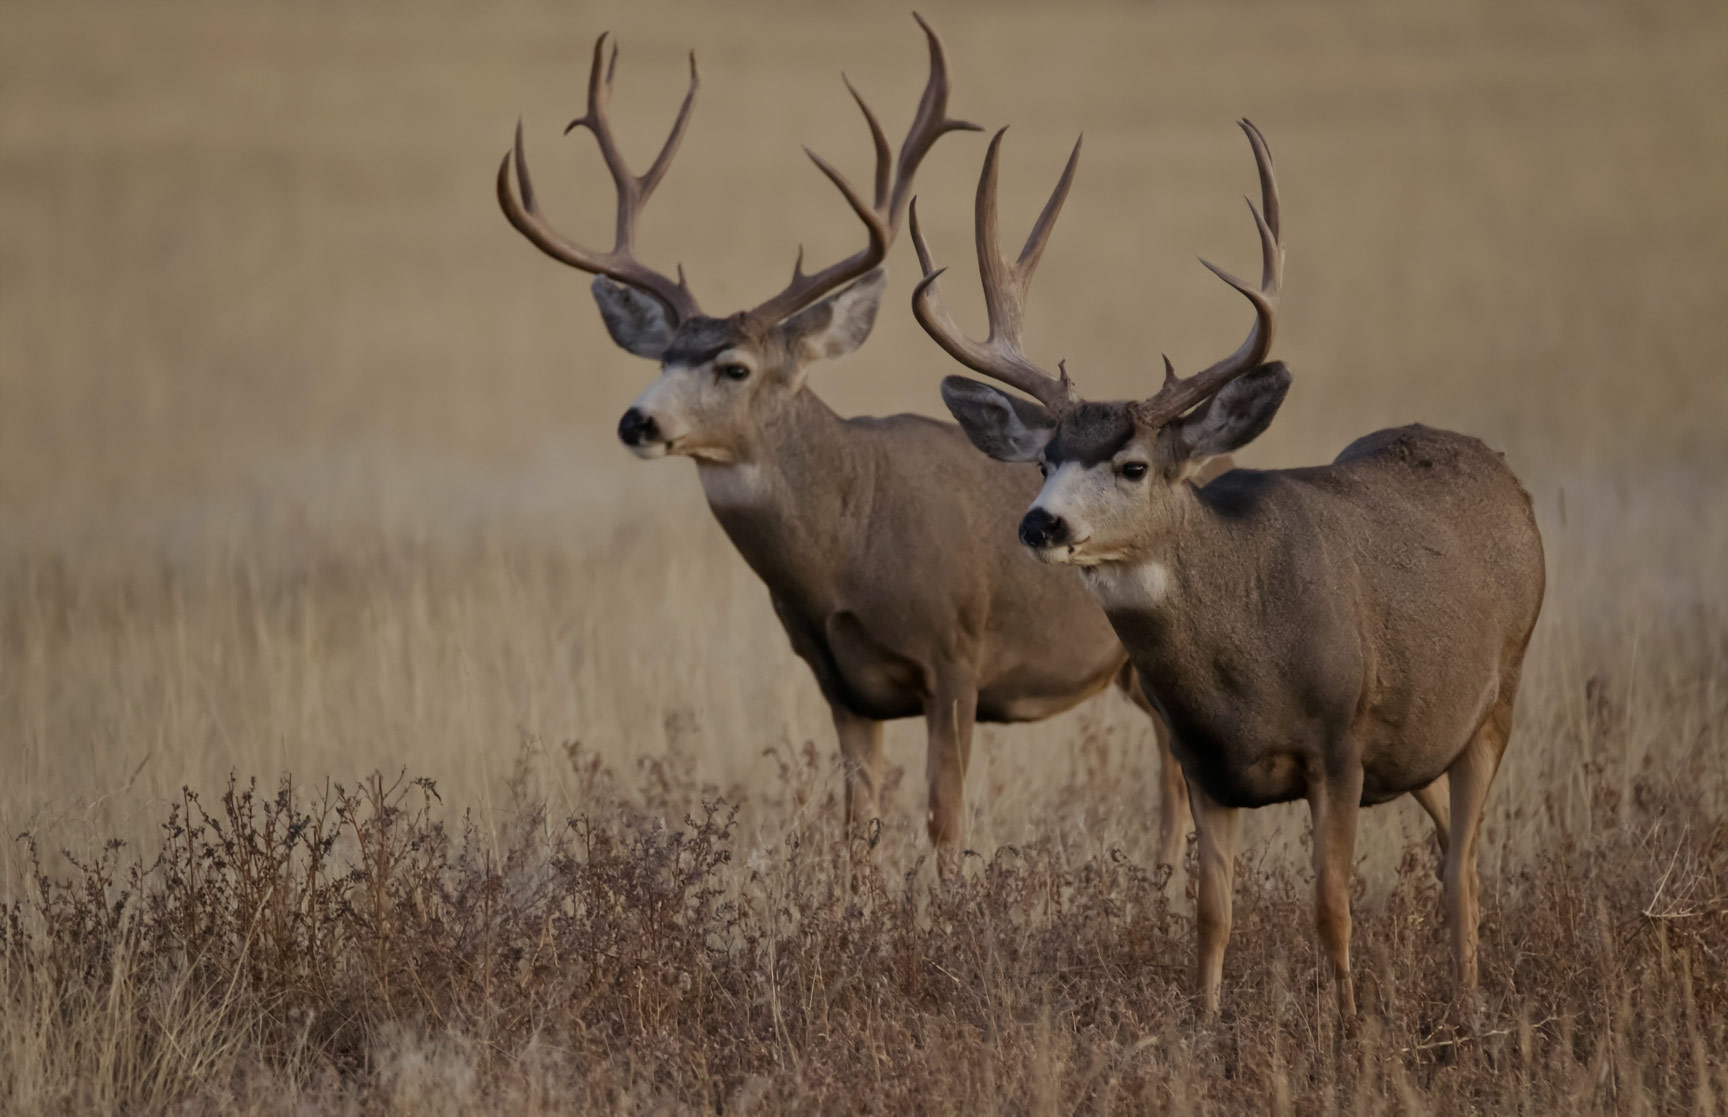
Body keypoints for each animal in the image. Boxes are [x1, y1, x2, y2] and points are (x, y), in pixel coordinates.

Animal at [496, 16, 1207, 877]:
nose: (639, 422)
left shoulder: (956, 657)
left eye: (734, 366)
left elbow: (944, 823)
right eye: (661, 356)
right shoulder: (840, 684)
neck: (848, 542)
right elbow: (855, 830)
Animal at [907, 120, 1545, 1018]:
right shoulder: (1203, 762)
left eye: (1133, 465)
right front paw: (1204, 1021)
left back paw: (1470, 1001)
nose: (1040, 522)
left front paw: (1346, 1023)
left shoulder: (1340, 744)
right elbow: (1211, 911)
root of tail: (1507, 479)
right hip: (1426, 734)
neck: (1243, 664)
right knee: (1456, 846)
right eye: (1043, 460)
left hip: (1499, 695)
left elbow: (1330, 904)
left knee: (1463, 869)